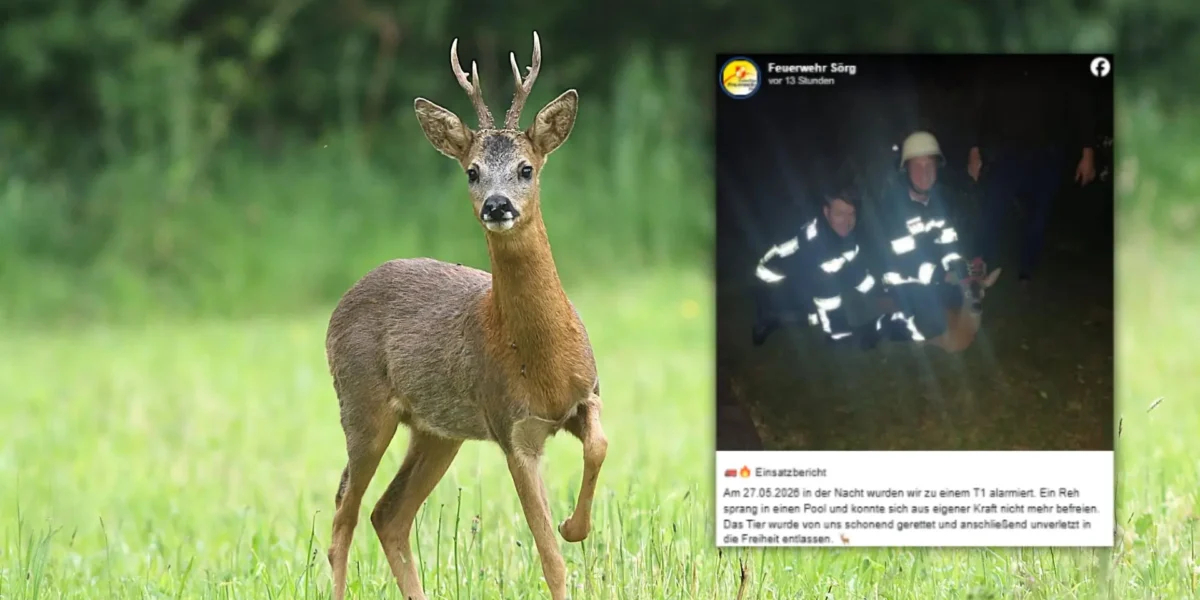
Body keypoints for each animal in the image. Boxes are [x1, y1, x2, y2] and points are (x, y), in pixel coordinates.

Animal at [323, 32, 606, 600]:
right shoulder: (510, 427)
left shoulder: (586, 393)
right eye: (472, 171)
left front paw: (575, 525)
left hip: (437, 430)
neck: (538, 357)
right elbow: (550, 557)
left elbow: (599, 448)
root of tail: (342, 301)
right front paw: (566, 531)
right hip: (362, 405)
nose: (497, 205)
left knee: (388, 513)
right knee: (345, 511)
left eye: (526, 168)